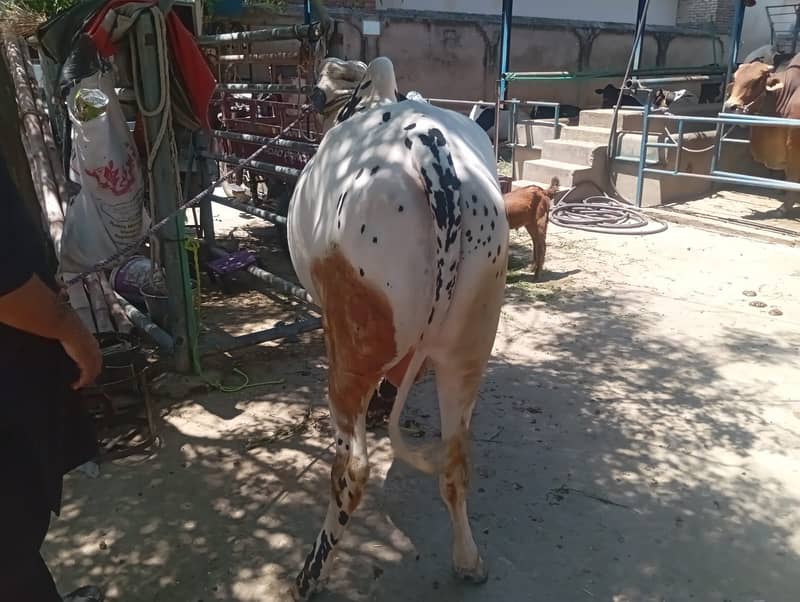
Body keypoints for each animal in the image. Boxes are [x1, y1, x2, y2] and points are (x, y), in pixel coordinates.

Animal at [288, 56, 509, 600]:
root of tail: (425, 142)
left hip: (353, 347)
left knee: (352, 469)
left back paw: (310, 573)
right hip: (468, 346)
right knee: (455, 458)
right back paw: (468, 560)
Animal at [724, 54, 800, 215]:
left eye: (758, 81)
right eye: (736, 77)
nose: (730, 106)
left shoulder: (794, 148)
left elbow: (792, 179)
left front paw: (784, 208)